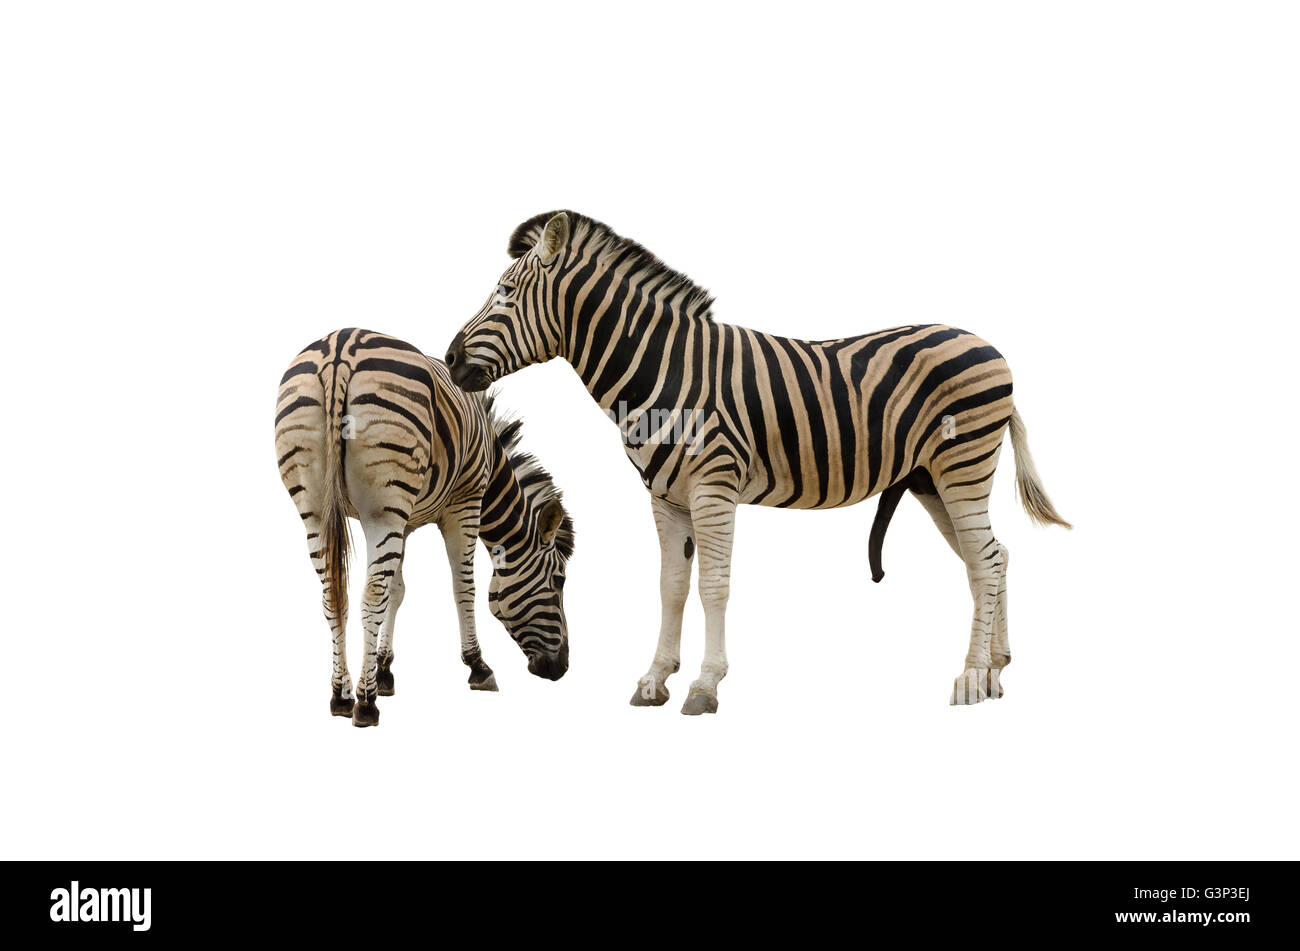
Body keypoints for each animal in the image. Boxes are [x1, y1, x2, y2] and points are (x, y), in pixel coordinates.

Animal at [275, 328, 575, 727]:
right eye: (559, 581)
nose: (561, 669)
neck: (492, 462)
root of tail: (340, 348)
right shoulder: (465, 502)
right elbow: (464, 588)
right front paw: (478, 666)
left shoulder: (404, 521)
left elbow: (397, 592)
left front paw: (384, 670)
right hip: (382, 510)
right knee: (369, 597)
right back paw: (365, 703)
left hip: (317, 507)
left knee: (333, 596)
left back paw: (341, 695)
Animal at [445, 211, 1070, 716]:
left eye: (505, 292)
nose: (449, 359)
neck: (663, 368)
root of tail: (990, 347)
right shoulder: (665, 496)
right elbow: (671, 586)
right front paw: (654, 680)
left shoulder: (714, 487)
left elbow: (713, 586)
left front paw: (704, 686)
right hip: (932, 481)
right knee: (993, 557)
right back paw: (996, 670)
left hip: (962, 468)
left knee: (984, 562)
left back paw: (972, 679)